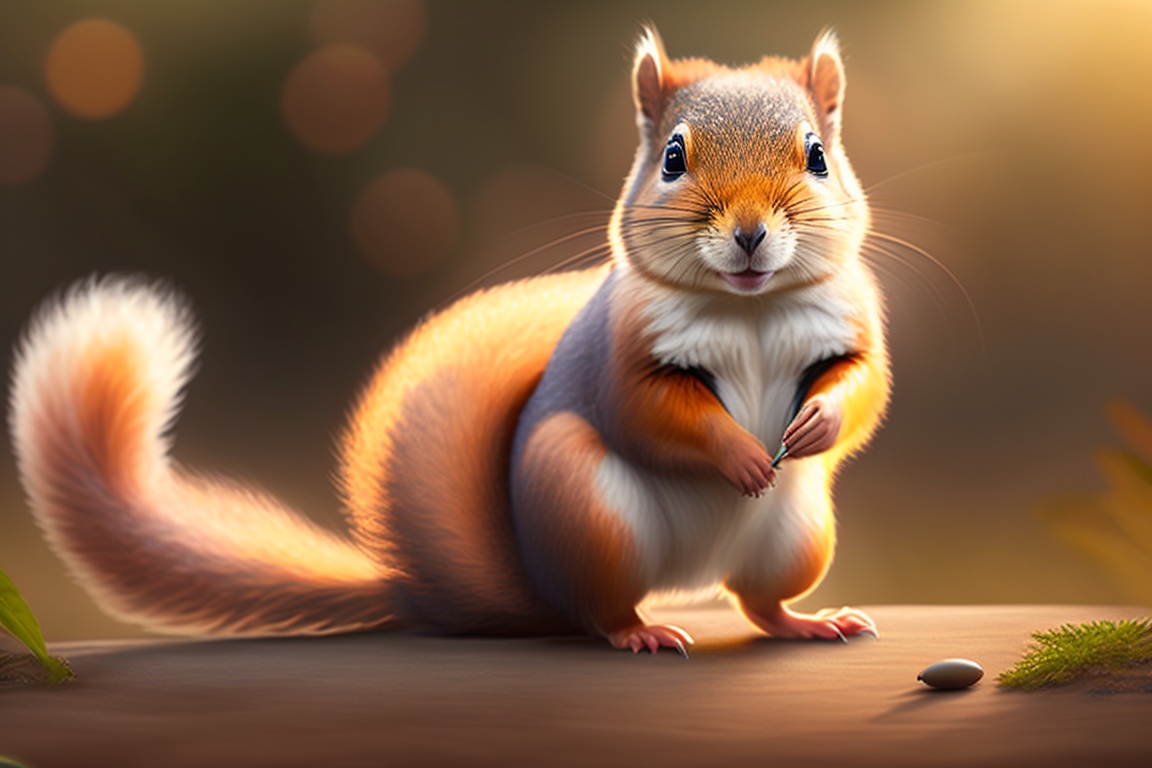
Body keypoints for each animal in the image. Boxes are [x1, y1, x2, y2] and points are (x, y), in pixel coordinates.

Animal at [9, 28, 889, 654]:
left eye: (817, 155)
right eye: (673, 157)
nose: (748, 235)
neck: (748, 310)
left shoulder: (852, 328)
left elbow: (862, 385)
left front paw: (816, 423)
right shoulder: (622, 353)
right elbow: (651, 414)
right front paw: (739, 454)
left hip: (799, 532)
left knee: (757, 601)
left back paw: (811, 622)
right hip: (583, 502)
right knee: (597, 610)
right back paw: (638, 630)